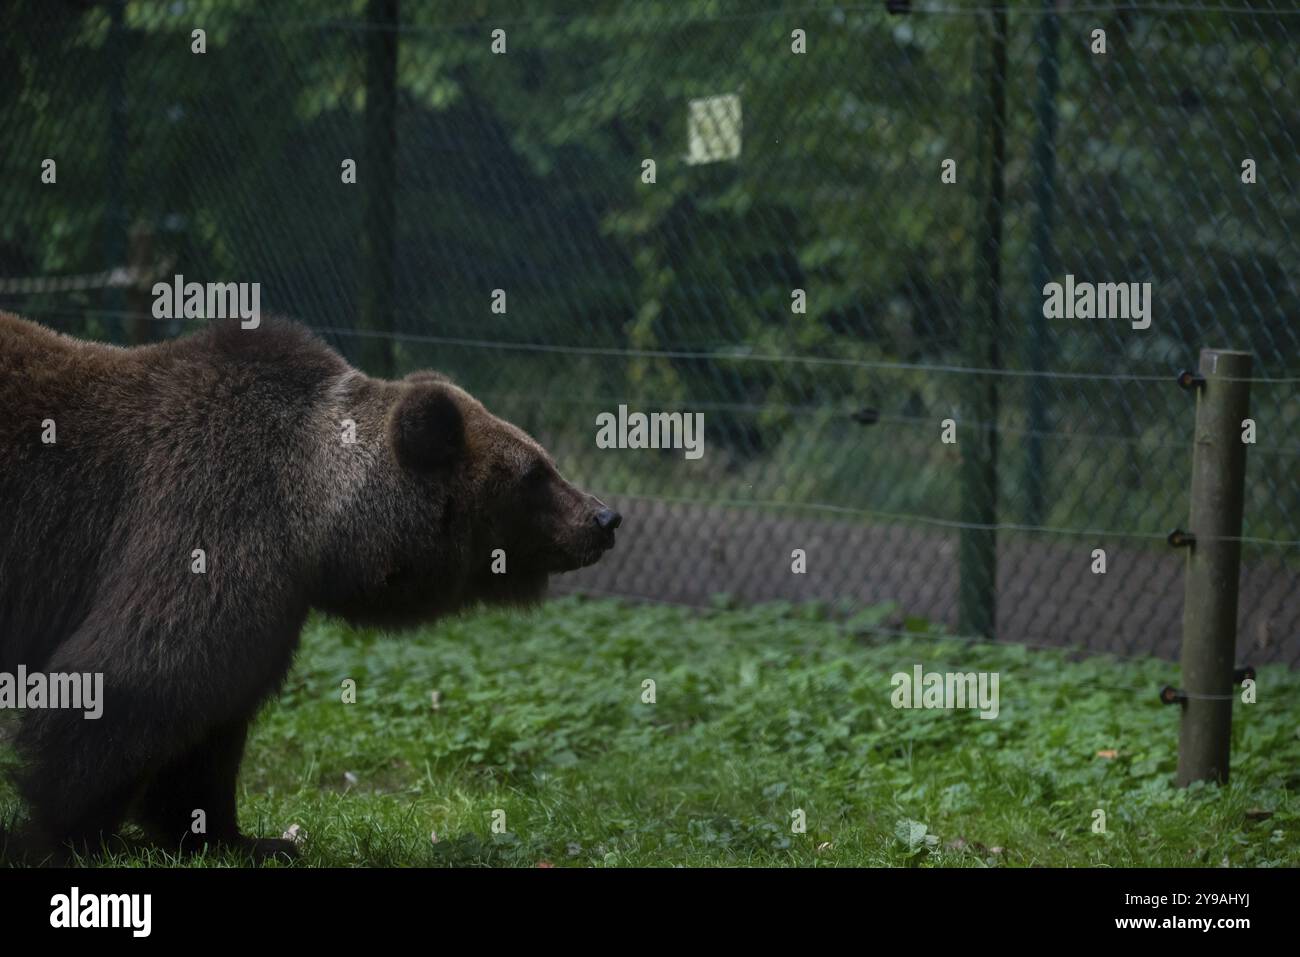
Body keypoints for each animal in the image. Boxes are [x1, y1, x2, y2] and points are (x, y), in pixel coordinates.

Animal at [0, 311, 621, 861]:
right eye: (535, 473)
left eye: (545, 461)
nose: (605, 518)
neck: (314, 521)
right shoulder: (204, 517)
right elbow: (136, 675)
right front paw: (61, 837)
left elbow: (211, 725)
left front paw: (241, 837)